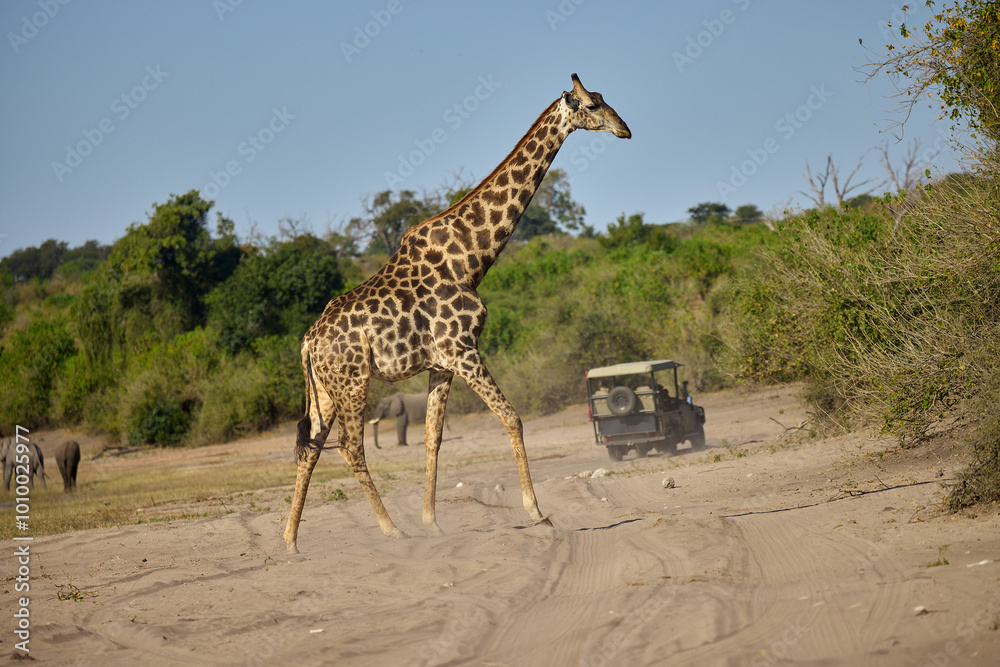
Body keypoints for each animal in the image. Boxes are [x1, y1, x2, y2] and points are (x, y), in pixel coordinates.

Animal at [283, 73, 630, 553]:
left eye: (603, 99)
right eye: (591, 105)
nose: (624, 130)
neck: (471, 258)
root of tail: (308, 342)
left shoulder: (442, 363)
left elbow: (434, 437)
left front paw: (432, 522)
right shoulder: (464, 350)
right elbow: (512, 418)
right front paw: (537, 513)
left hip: (323, 389)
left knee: (310, 445)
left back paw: (290, 542)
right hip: (352, 381)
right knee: (350, 446)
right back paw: (391, 529)